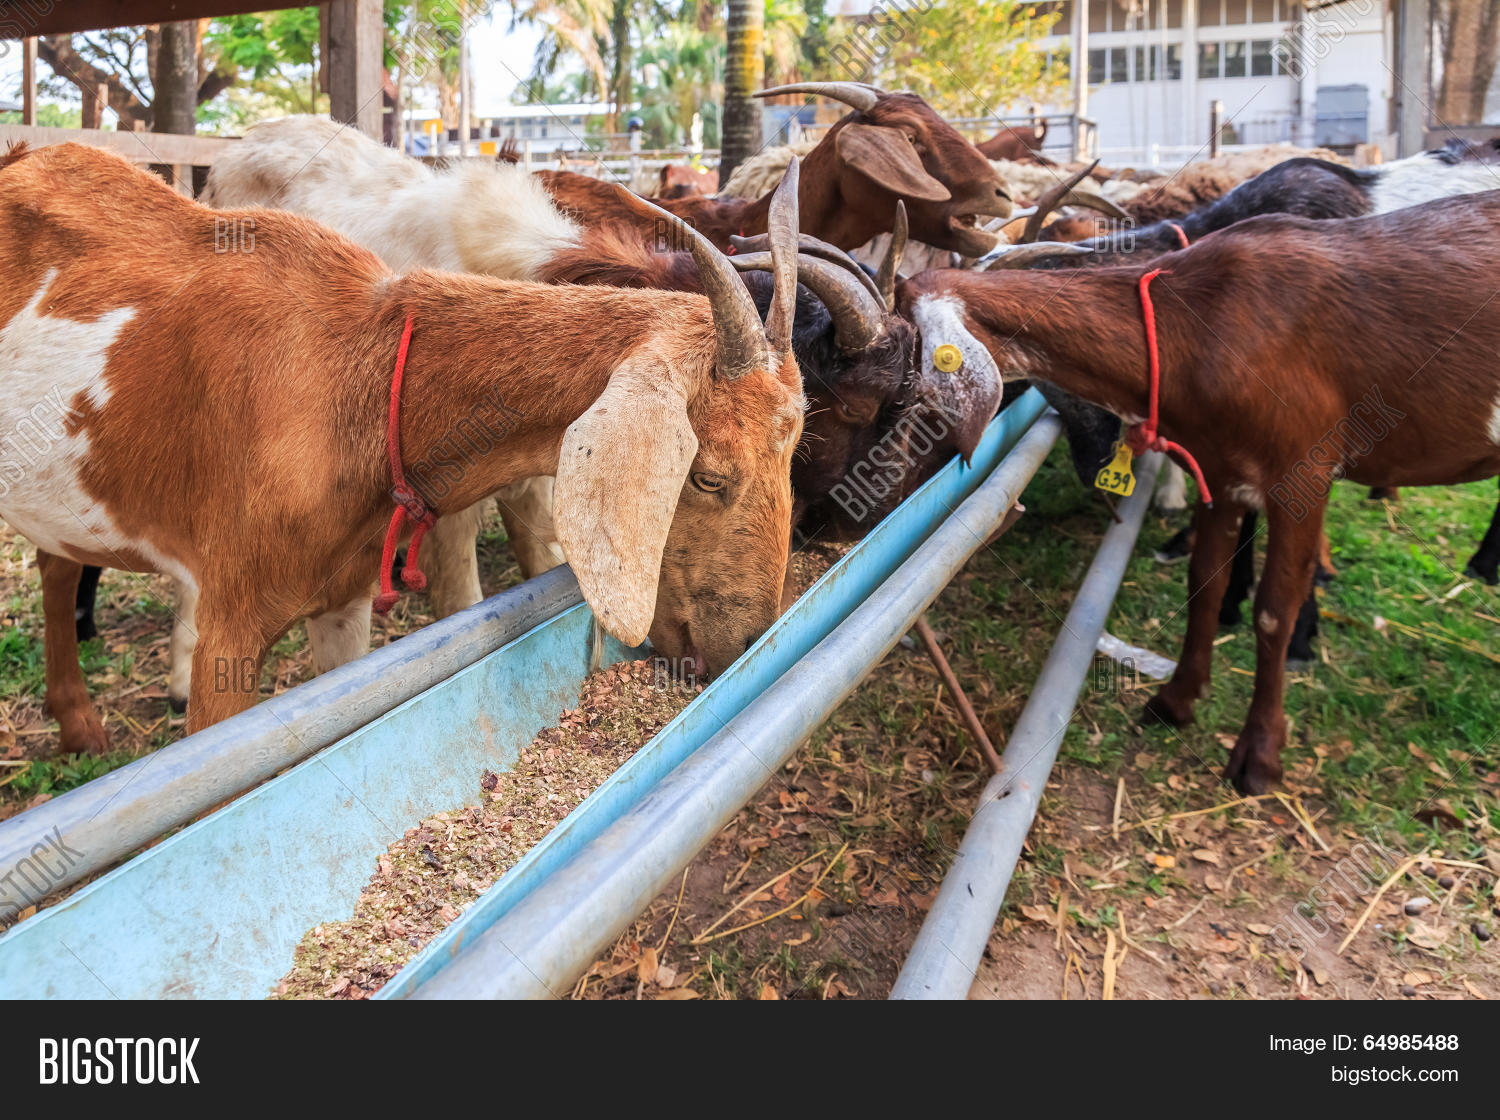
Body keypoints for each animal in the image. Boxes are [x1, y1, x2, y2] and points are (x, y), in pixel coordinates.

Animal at [0, 141, 806, 752]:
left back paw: (76, 724)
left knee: (54, 562)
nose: (745, 642)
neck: (358, 369)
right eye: (706, 476)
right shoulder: (227, 624)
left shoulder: (343, 604)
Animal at [897, 194, 1500, 792]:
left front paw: (1259, 755)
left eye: (902, 378)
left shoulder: (1303, 471)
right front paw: (1176, 701)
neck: (1194, 321)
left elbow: (1274, 610)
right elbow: (1205, 581)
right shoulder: (1222, 471)